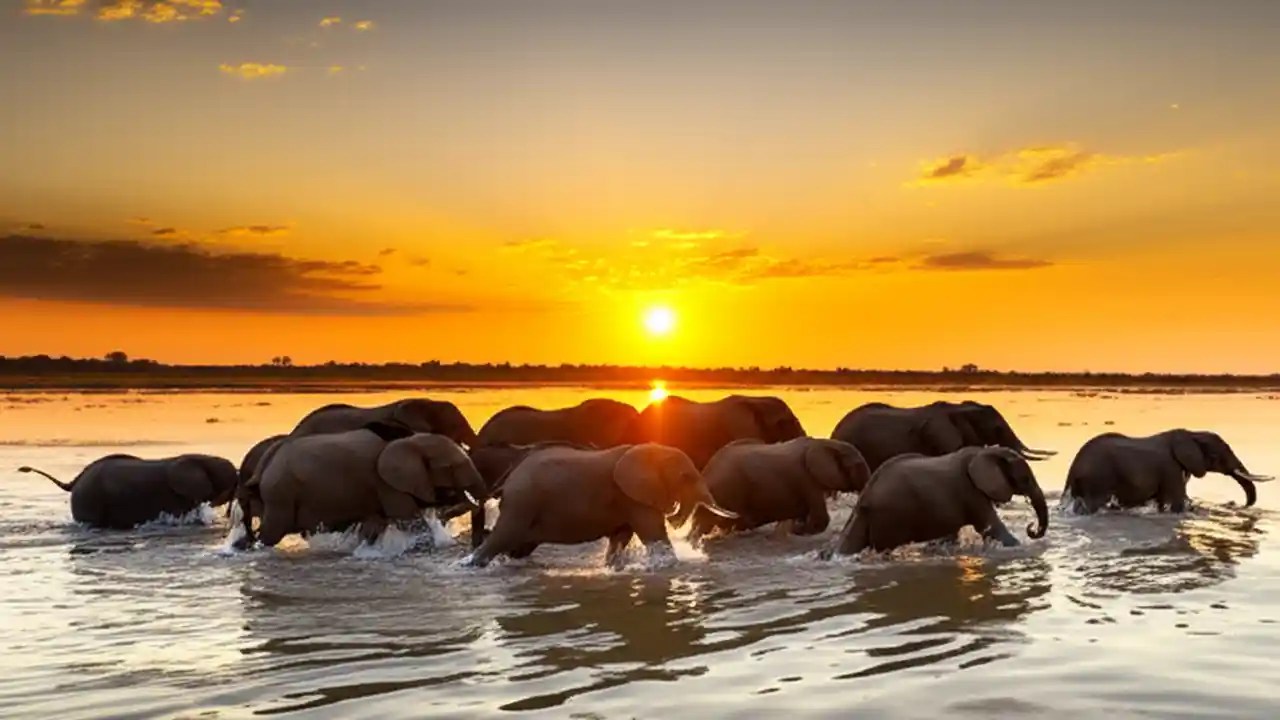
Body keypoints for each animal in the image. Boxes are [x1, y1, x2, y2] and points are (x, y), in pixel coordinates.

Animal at [233, 422, 487, 549]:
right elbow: (410, 521)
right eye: (454, 467)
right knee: (271, 533)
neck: (408, 439)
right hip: (281, 493)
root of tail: (266, 463)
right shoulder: (386, 483)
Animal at [463, 443, 738, 568]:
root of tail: (510, 477)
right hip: (522, 502)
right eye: (685, 477)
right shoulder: (633, 498)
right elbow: (654, 534)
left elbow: (620, 538)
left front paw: (612, 568)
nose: (676, 518)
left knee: (515, 547)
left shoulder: (627, 502)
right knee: (500, 539)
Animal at [687, 437, 871, 540]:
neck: (826, 443)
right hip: (727, 489)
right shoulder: (806, 478)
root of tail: (705, 473)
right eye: (858, 465)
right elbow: (820, 518)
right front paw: (797, 531)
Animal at [830, 446, 1049, 556]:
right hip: (890, 517)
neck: (982, 452)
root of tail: (863, 502)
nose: (1031, 528)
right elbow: (992, 527)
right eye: (1025, 479)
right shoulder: (969, 491)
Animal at [1062, 429, 1272, 514]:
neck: (1192, 433)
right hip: (1096, 479)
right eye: (1217, 455)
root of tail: (1073, 467)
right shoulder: (1170, 468)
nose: (1239, 504)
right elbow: (1177, 501)